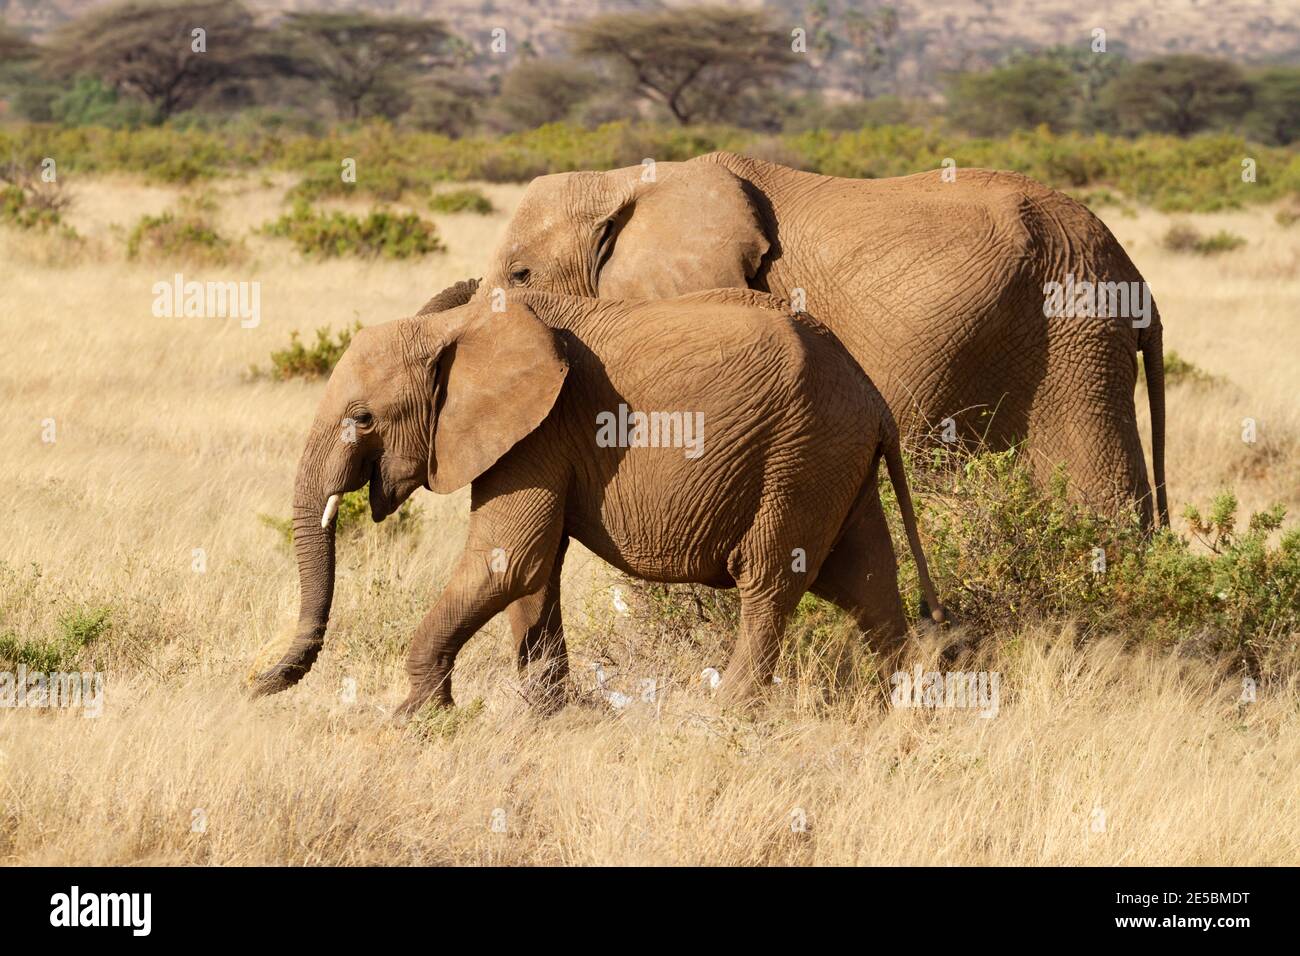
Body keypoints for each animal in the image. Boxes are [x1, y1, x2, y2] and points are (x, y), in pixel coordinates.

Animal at [251, 287, 945, 715]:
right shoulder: (538, 438)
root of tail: (871, 394)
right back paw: (906, 710)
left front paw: (413, 719)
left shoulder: (540, 429)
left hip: (798, 454)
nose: (252, 684)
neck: (458, 327)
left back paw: (724, 716)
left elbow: (509, 561)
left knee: (772, 579)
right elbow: (532, 573)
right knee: (865, 579)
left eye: (363, 418)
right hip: (832, 459)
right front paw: (549, 716)